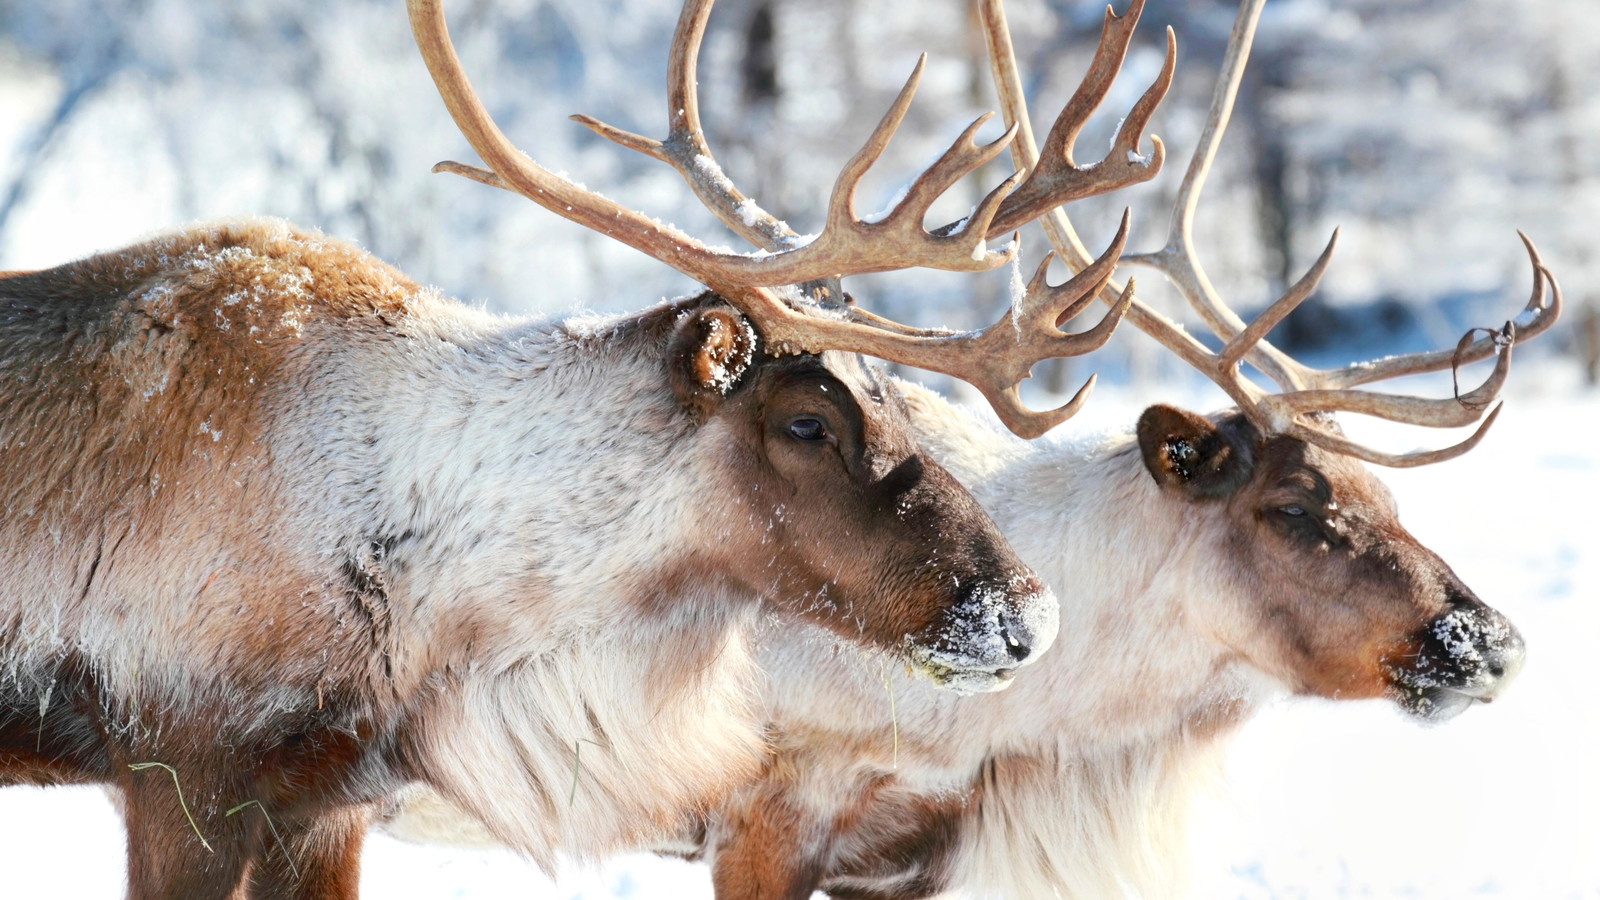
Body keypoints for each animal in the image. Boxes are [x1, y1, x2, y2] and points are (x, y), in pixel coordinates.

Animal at [379, 0, 1561, 896]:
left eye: (1389, 498)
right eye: (1293, 508)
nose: (1492, 643)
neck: (1043, 726)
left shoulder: (914, 852)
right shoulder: (766, 815)